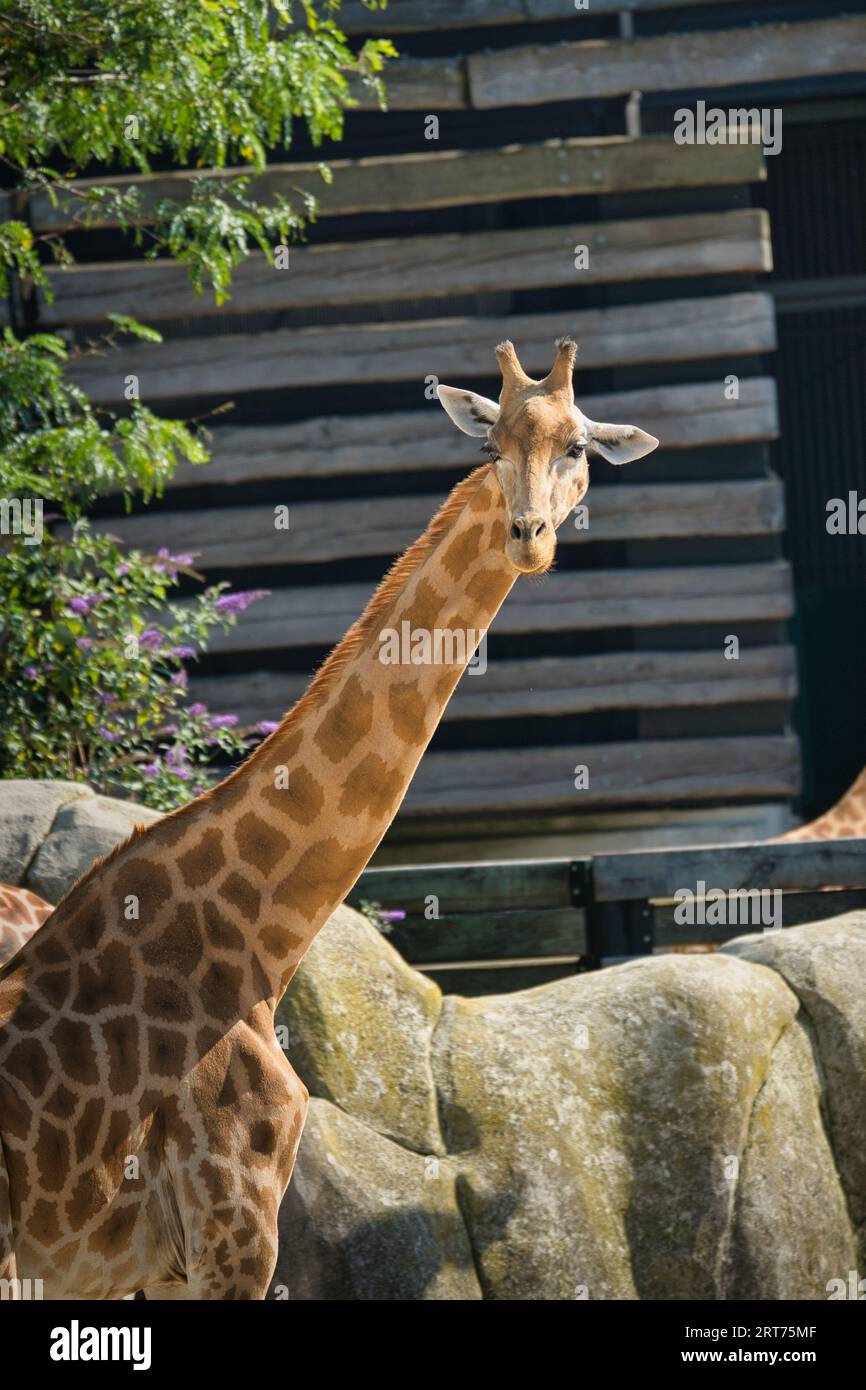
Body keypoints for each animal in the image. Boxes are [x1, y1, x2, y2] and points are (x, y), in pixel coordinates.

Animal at [0, 337, 658, 1300]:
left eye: (576, 447)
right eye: (490, 446)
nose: (526, 536)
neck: (251, 938)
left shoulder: (160, 1259)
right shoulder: (233, 1226)